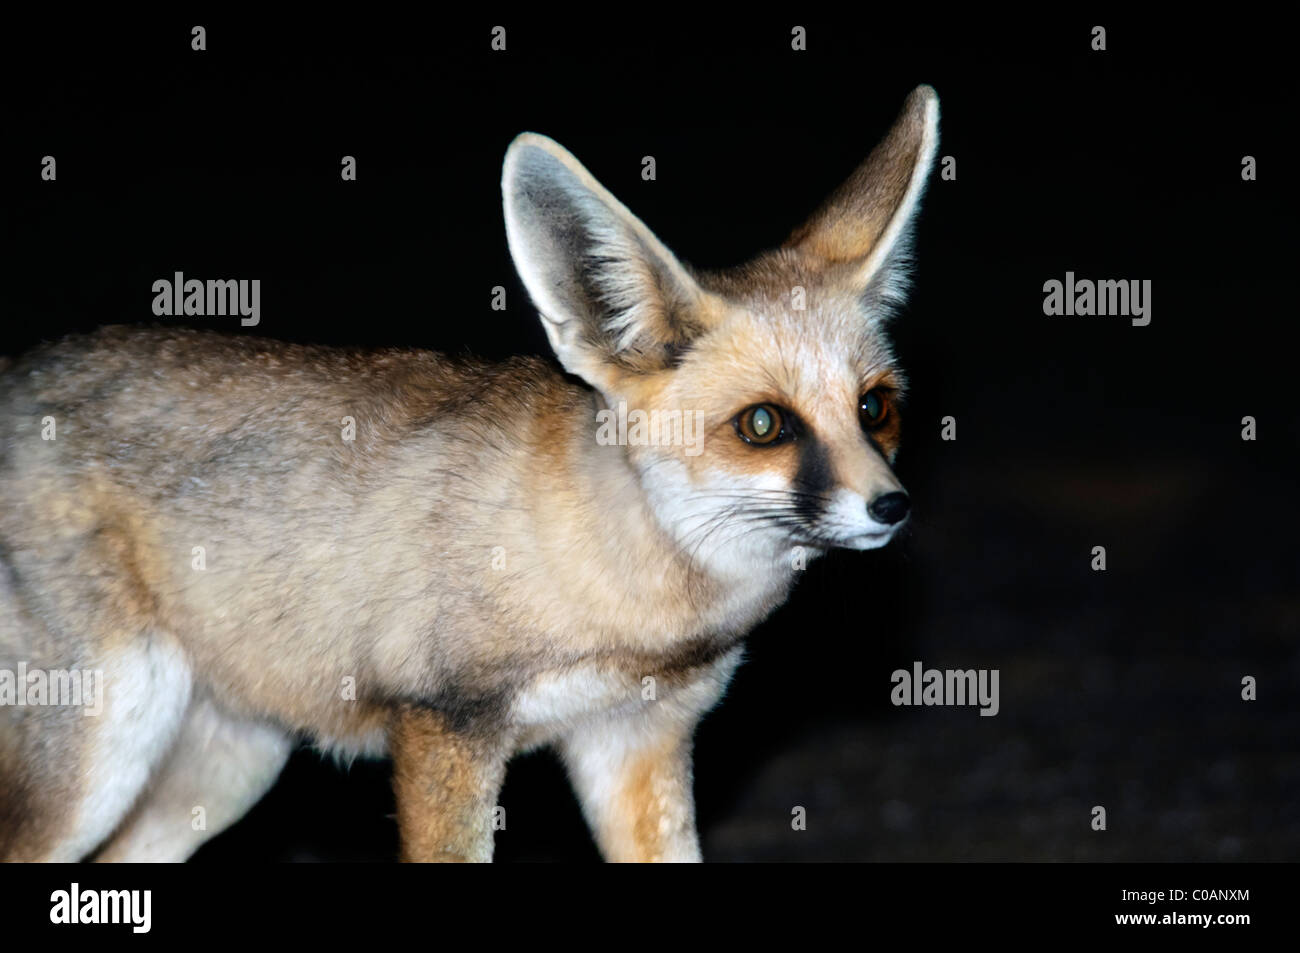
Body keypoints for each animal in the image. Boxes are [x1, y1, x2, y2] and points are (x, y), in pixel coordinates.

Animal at [0, 85, 938, 862]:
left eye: (875, 408)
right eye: (763, 425)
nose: (892, 507)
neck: (636, 605)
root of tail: (18, 373)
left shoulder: (637, 739)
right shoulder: (445, 729)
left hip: (228, 766)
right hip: (99, 762)